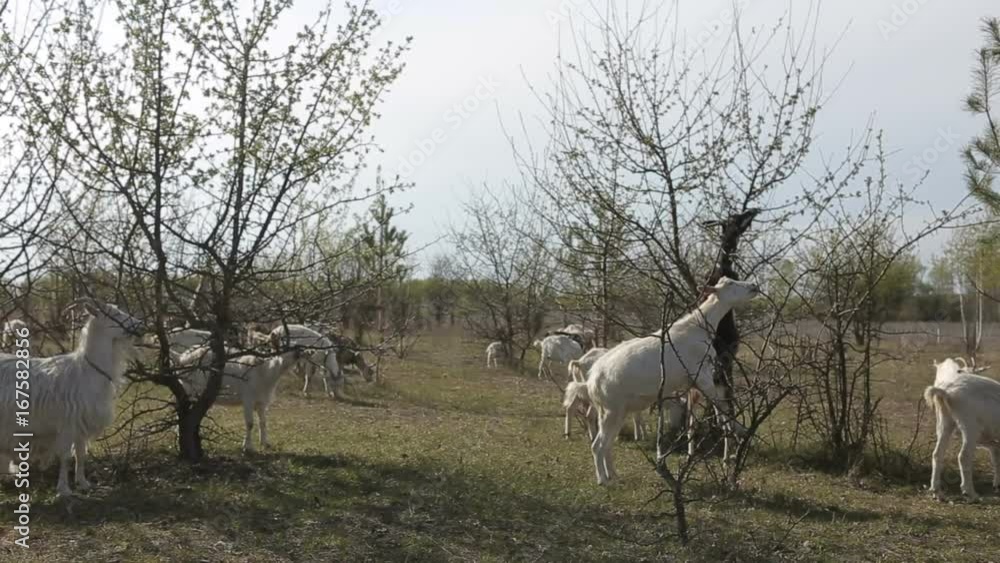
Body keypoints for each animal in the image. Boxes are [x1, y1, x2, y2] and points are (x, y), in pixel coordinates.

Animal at [0, 298, 144, 496]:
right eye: (113, 314)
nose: (140, 325)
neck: (86, 371)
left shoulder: (81, 425)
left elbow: (81, 455)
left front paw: (83, 483)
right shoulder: (67, 424)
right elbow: (66, 457)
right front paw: (64, 489)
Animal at [563, 277, 759, 485]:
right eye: (730, 284)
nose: (754, 286)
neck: (696, 328)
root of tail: (590, 382)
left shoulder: (694, 382)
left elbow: (713, 407)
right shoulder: (701, 375)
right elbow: (720, 403)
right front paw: (740, 429)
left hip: (615, 411)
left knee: (606, 444)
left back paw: (614, 475)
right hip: (611, 411)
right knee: (598, 445)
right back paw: (603, 480)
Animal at [926, 357, 1000, 500]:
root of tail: (947, 392)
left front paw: (997, 484)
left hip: (945, 422)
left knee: (937, 453)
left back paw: (937, 492)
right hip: (970, 426)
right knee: (964, 456)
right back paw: (970, 493)